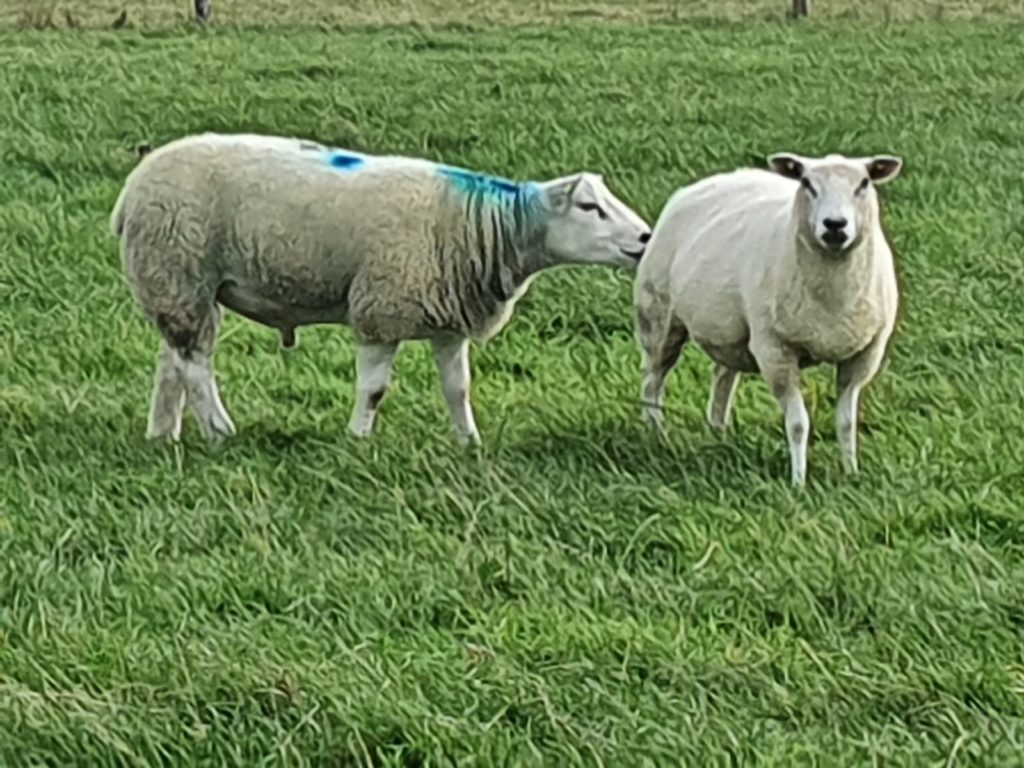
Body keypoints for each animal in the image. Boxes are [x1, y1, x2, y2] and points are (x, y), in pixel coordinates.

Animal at [110, 132, 651, 444]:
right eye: (590, 208)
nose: (647, 238)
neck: (480, 227)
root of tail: (133, 185)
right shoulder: (379, 310)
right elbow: (373, 389)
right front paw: (358, 439)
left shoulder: (448, 321)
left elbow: (458, 389)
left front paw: (469, 443)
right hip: (179, 270)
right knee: (196, 366)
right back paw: (219, 431)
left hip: (178, 283)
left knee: (174, 360)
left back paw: (164, 434)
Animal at [634, 152, 903, 485]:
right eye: (806, 183)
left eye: (864, 183)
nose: (834, 225)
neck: (833, 300)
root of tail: (718, 178)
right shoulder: (775, 351)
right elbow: (798, 424)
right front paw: (799, 482)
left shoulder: (864, 354)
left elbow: (846, 422)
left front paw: (850, 472)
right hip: (657, 315)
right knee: (653, 379)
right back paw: (654, 434)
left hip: (732, 333)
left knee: (722, 377)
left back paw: (719, 435)